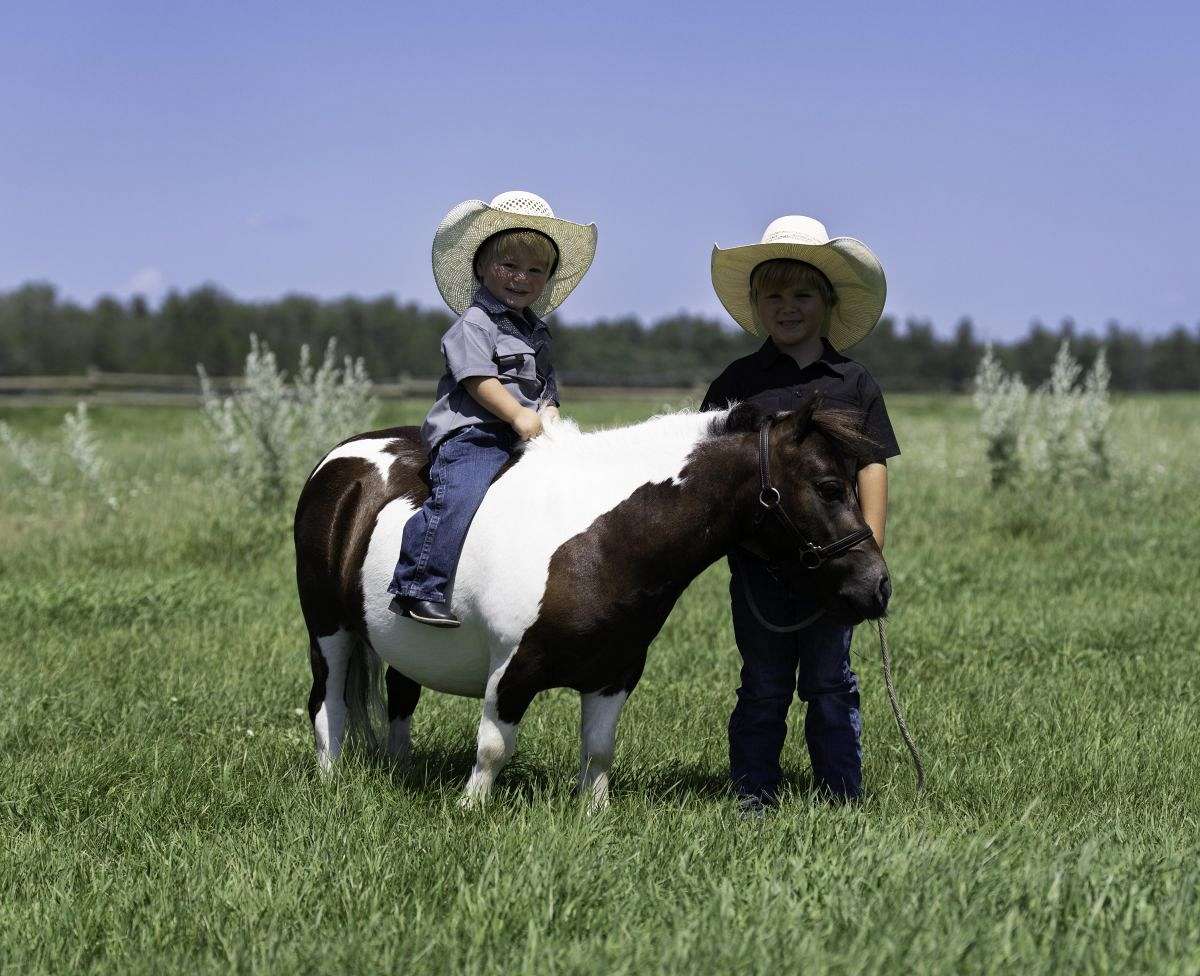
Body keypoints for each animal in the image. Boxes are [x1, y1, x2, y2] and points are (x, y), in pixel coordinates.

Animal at [292, 397, 890, 808]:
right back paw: (330, 780)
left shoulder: (615, 673)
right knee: (327, 703)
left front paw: (593, 814)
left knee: (401, 694)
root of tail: (340, 459)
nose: (877, 586)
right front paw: (469, 808)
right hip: (328, 629)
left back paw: (400, 769)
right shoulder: (511, 669)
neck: (599, 538)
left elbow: (599, 747)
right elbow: (492, 748)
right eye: (829, 486)